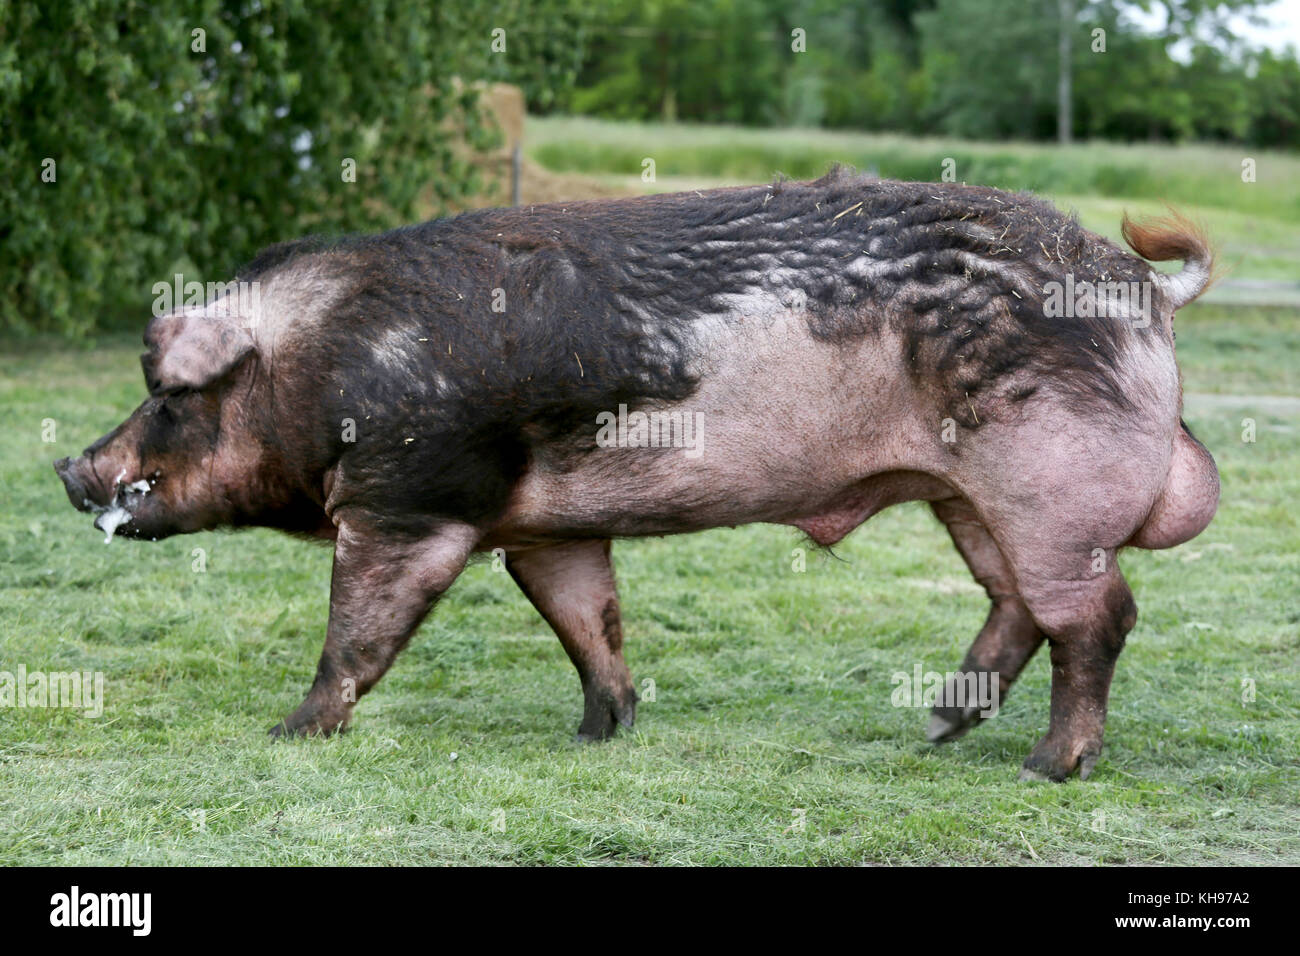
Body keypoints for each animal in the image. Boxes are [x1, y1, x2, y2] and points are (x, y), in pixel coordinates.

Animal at [54, 168, 1219, 781]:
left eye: (169, 394)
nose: (72, 469)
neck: (323, 361)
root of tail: (1142, 285)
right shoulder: (546, 527)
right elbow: (587, 617)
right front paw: (599, 731)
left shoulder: (409, 505)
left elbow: (359, 631)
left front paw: (289, 733)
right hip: (967, 493)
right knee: (1015, 604)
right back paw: (935, 728)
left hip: (1047, 486)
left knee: (1097, 615)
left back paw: (1048, 765)